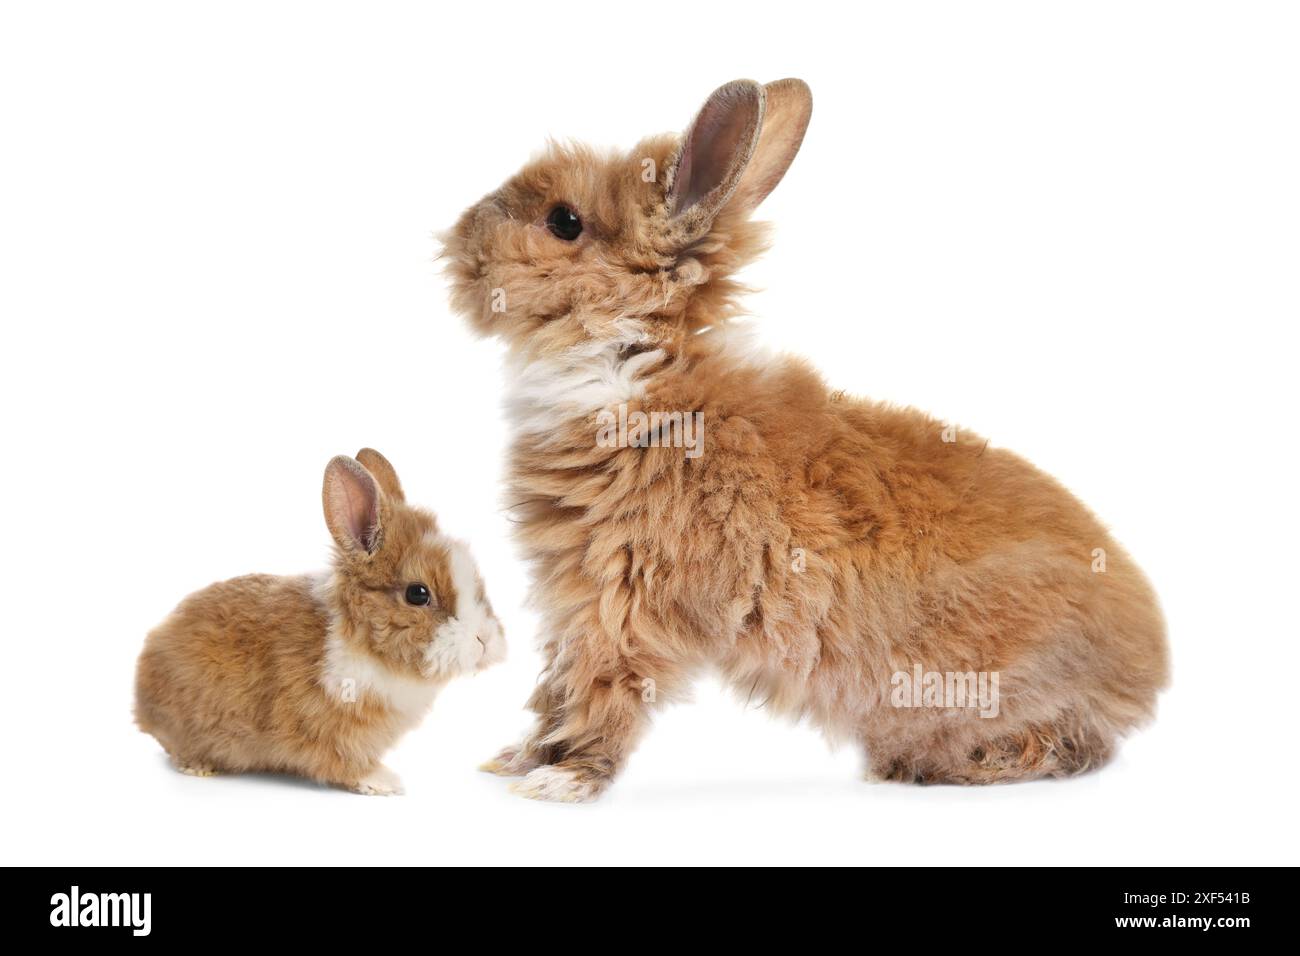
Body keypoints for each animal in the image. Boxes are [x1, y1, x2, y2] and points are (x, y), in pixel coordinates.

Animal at [134, 448, 505, 795]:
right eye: (418, 593)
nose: (485, 642)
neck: (363, 643)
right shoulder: (330, 729)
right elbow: (344, 761)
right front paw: (383, 782)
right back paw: (198, 767)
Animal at [442, 78, 1168, 802]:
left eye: (564, 221)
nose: (460, 240)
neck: (633, 370)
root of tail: (1150, 668)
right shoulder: (577, 599)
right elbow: (557, 689)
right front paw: (516, 762)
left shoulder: (625, 600)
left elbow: (602, 689)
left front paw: (561, 781)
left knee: (1073, 746)